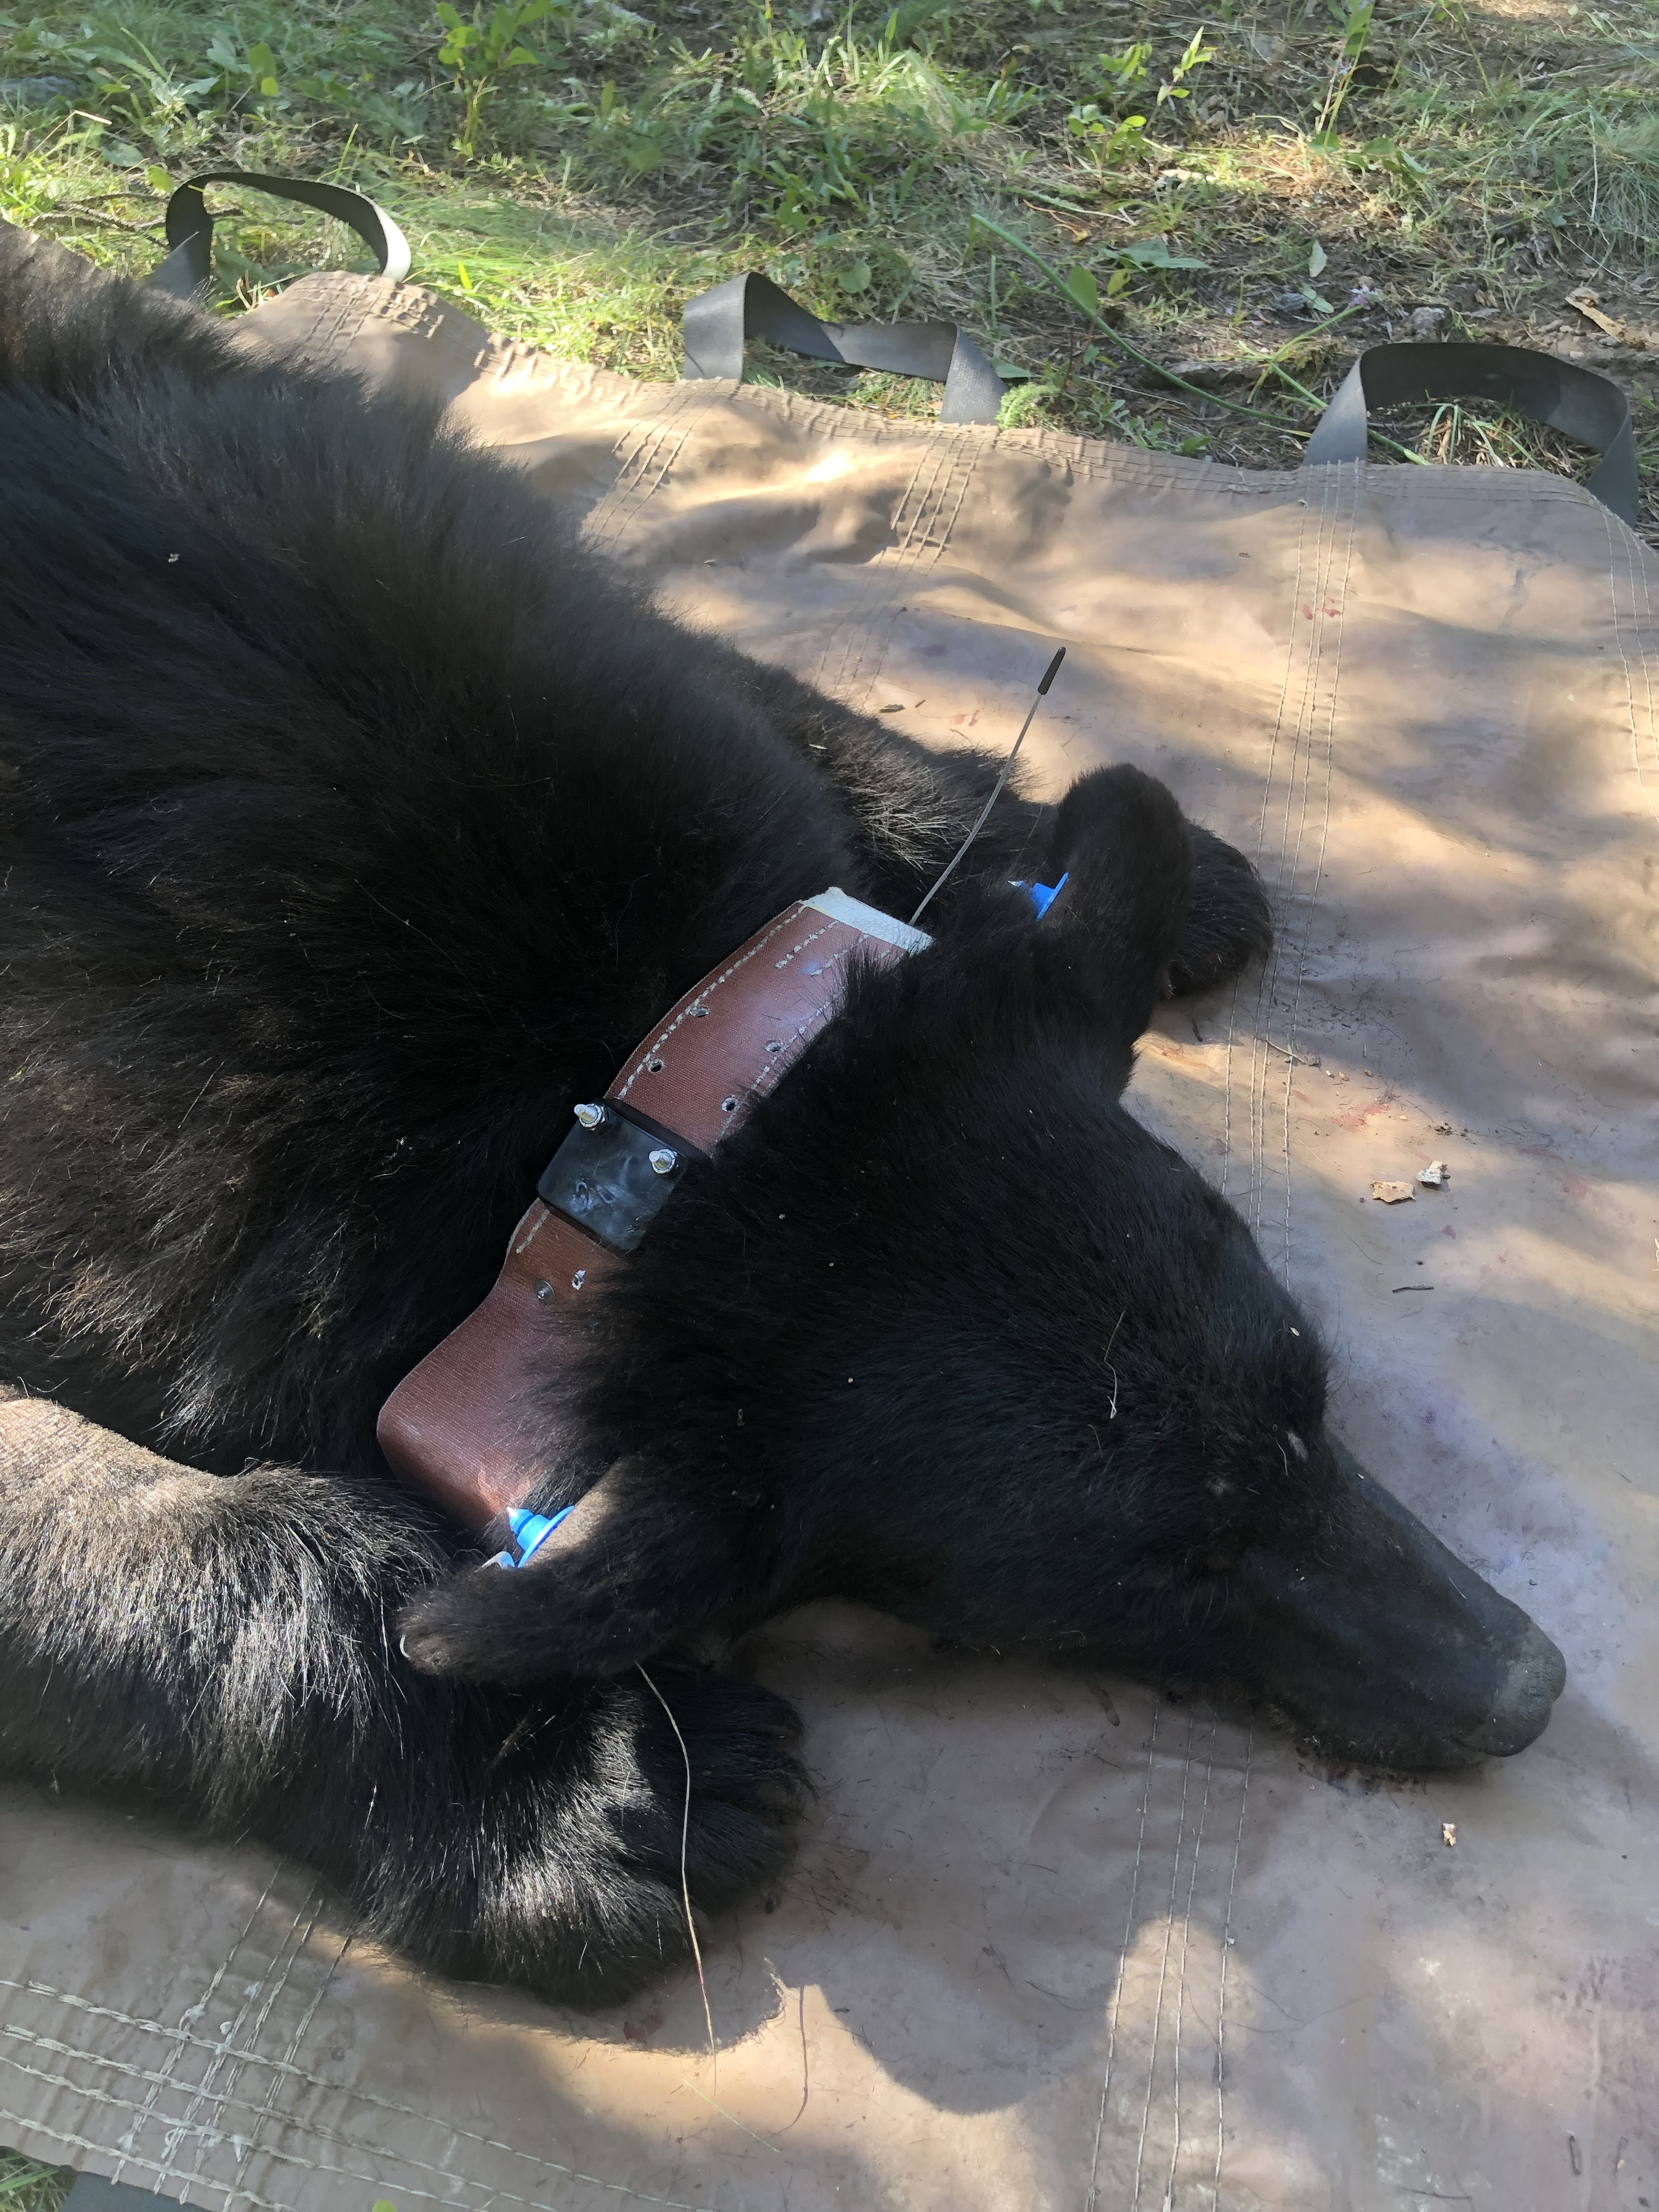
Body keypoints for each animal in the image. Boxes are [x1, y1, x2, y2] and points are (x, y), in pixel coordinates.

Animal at [0, 227, 1564, 2007]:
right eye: (1166, 1572)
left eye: (1311, 1391)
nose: (1532, 1687)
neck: (654, 1110)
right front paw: (544, 1784)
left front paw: (1023, 845)